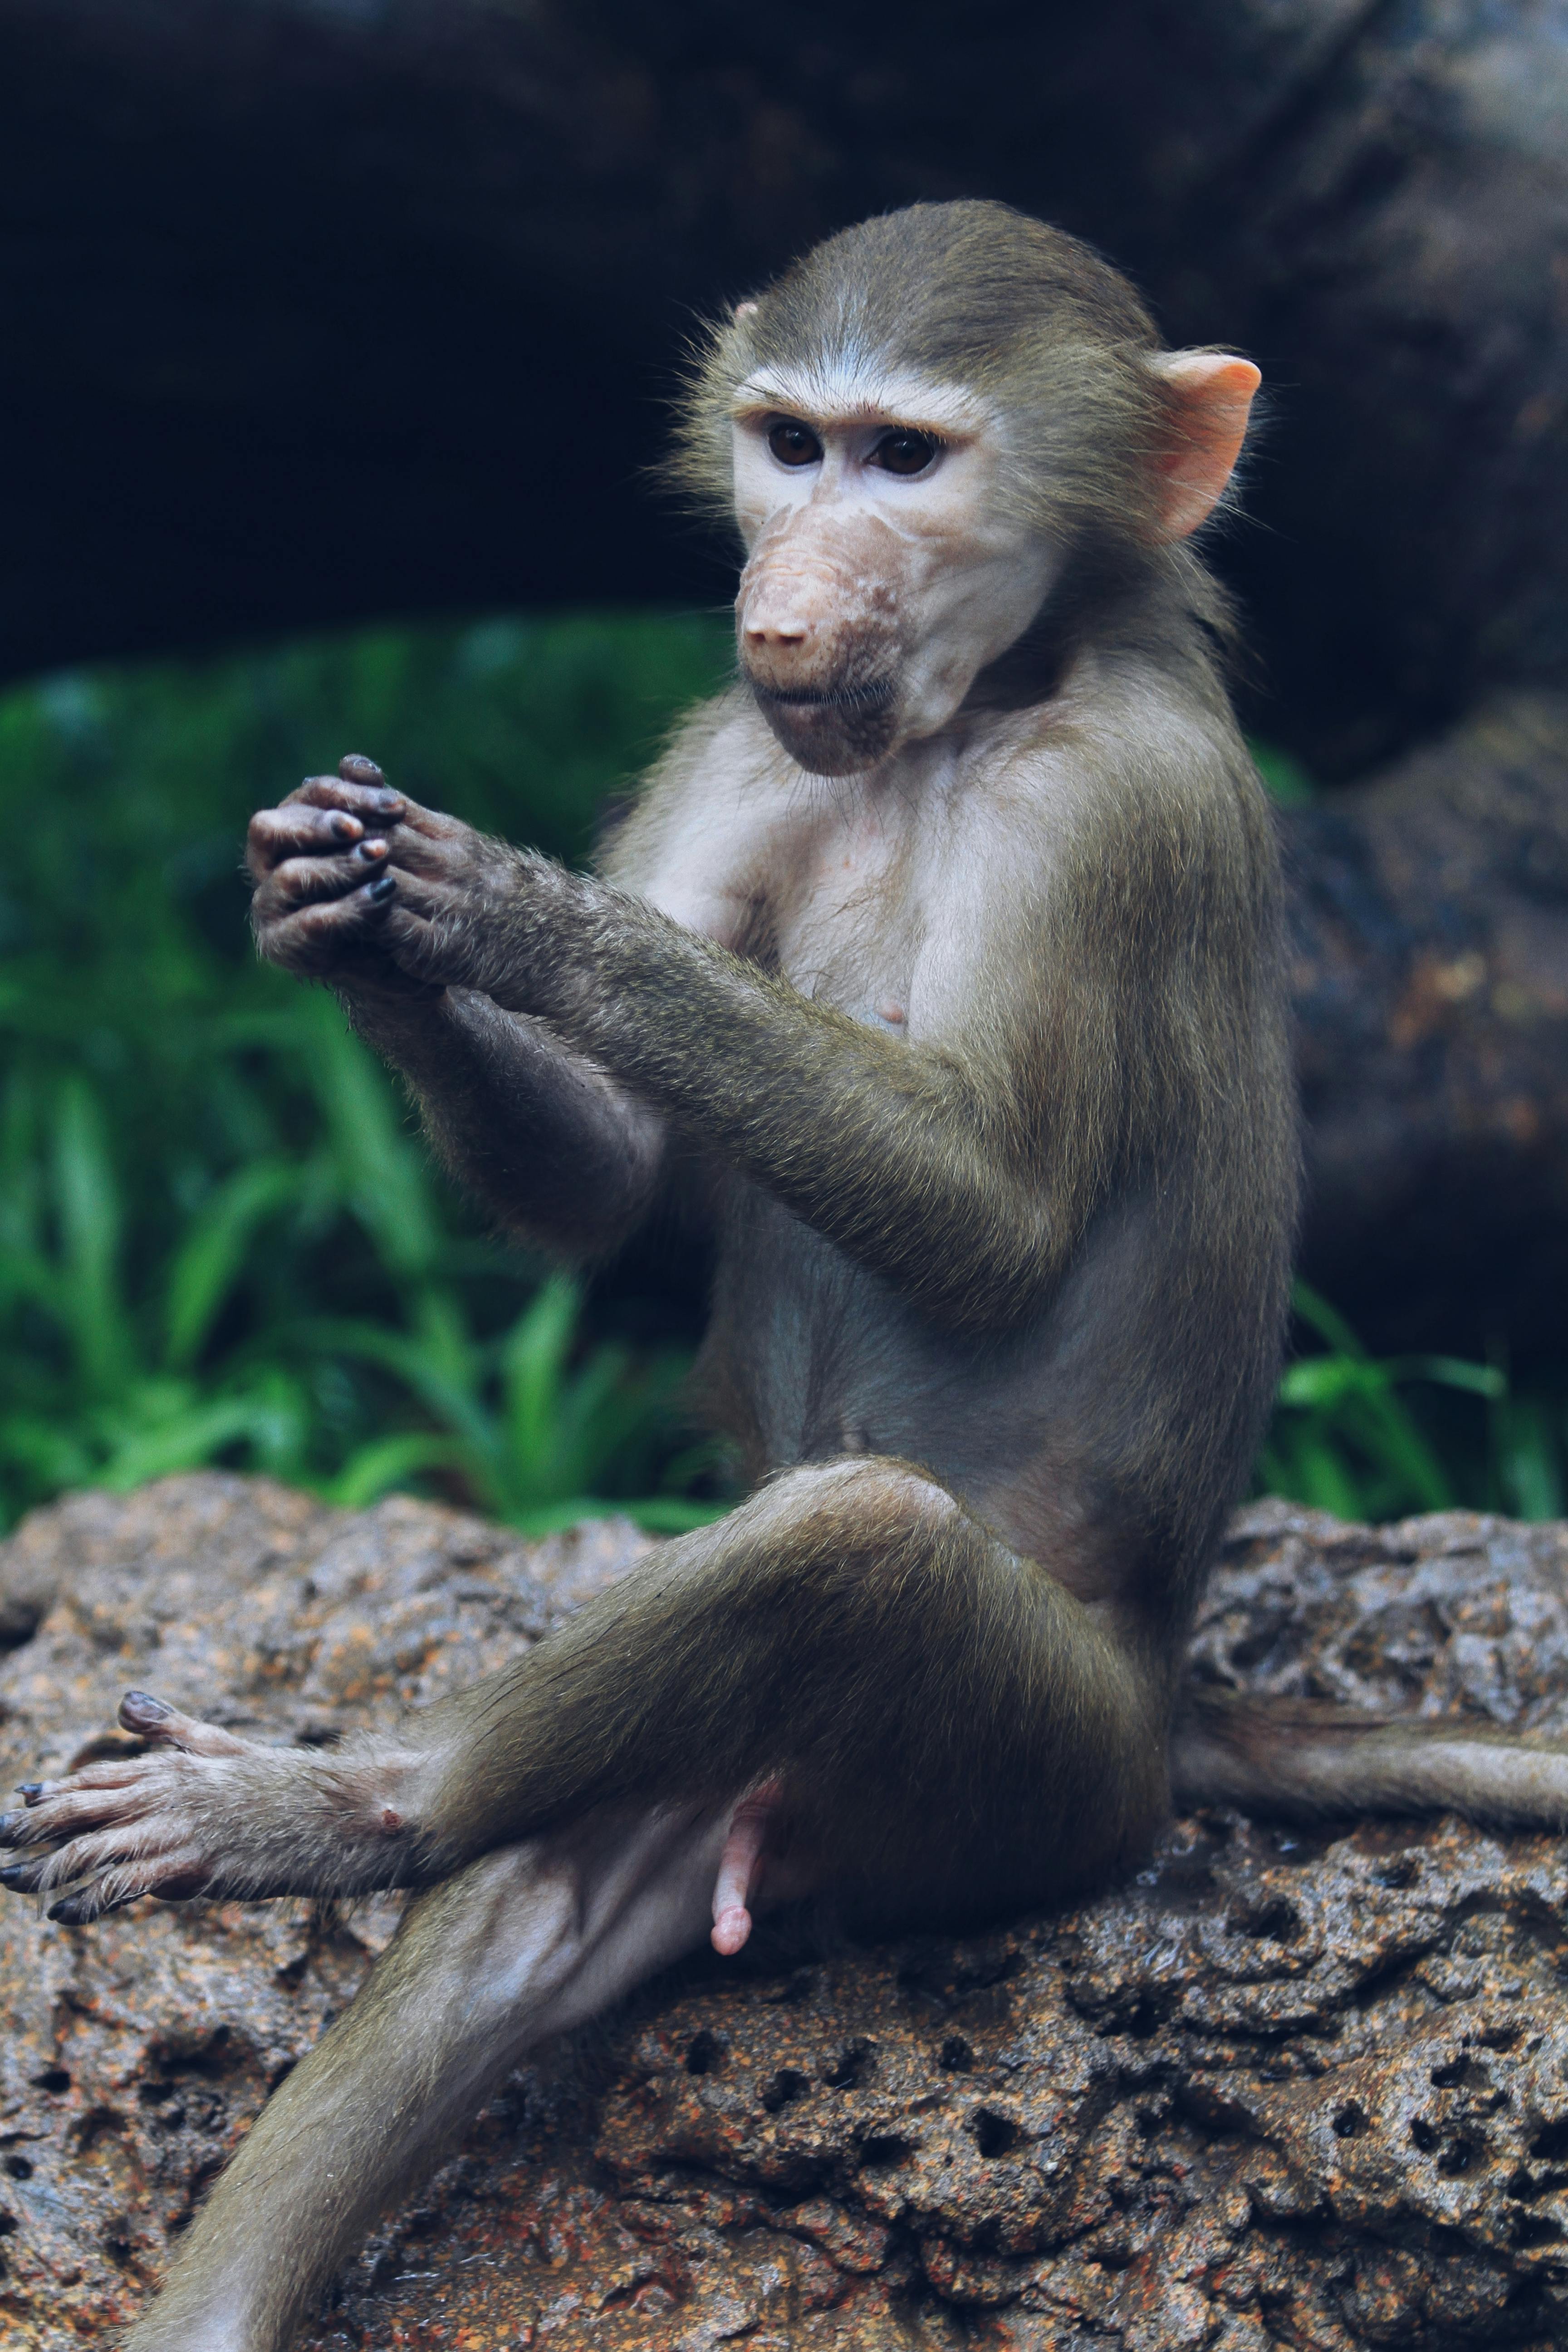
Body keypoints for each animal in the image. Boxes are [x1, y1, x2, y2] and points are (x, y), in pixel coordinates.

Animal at [5, 200, 1567, 2352]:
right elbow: (609, 1170)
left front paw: (517, 910)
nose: (787, 594)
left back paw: (358, 1804)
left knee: (858, 1545)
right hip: (743, 1790)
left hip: (1040, 1778)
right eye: (789, 443)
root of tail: (1168, 1697)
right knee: (515, 1920)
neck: (971, 715)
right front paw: (354, 919)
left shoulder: (1109, 806)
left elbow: (988, 1219)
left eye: (904, 459)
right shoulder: (740, 744)